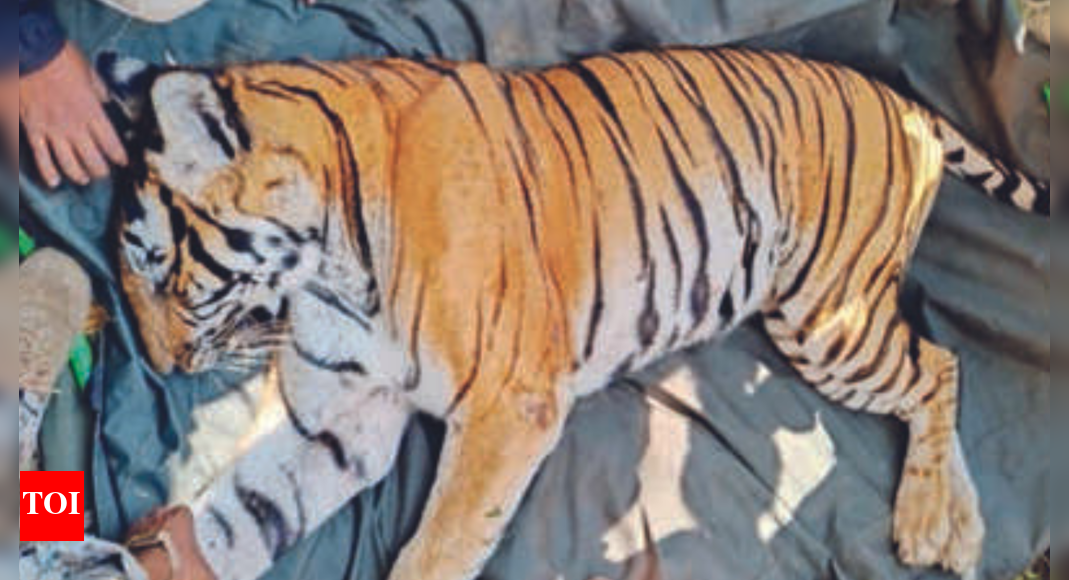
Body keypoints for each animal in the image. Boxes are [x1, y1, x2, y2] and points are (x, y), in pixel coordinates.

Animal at [98, 45, 1048, 580]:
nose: (163, 367)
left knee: (940, 366)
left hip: (825, 316)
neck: (323, 266)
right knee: (940, 366)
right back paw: (956, 530)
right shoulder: (343, 418)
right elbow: (241, 514)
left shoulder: (506, 406)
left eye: (158, 268)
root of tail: (903, 99)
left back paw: (931, 523)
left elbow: (438, 548)